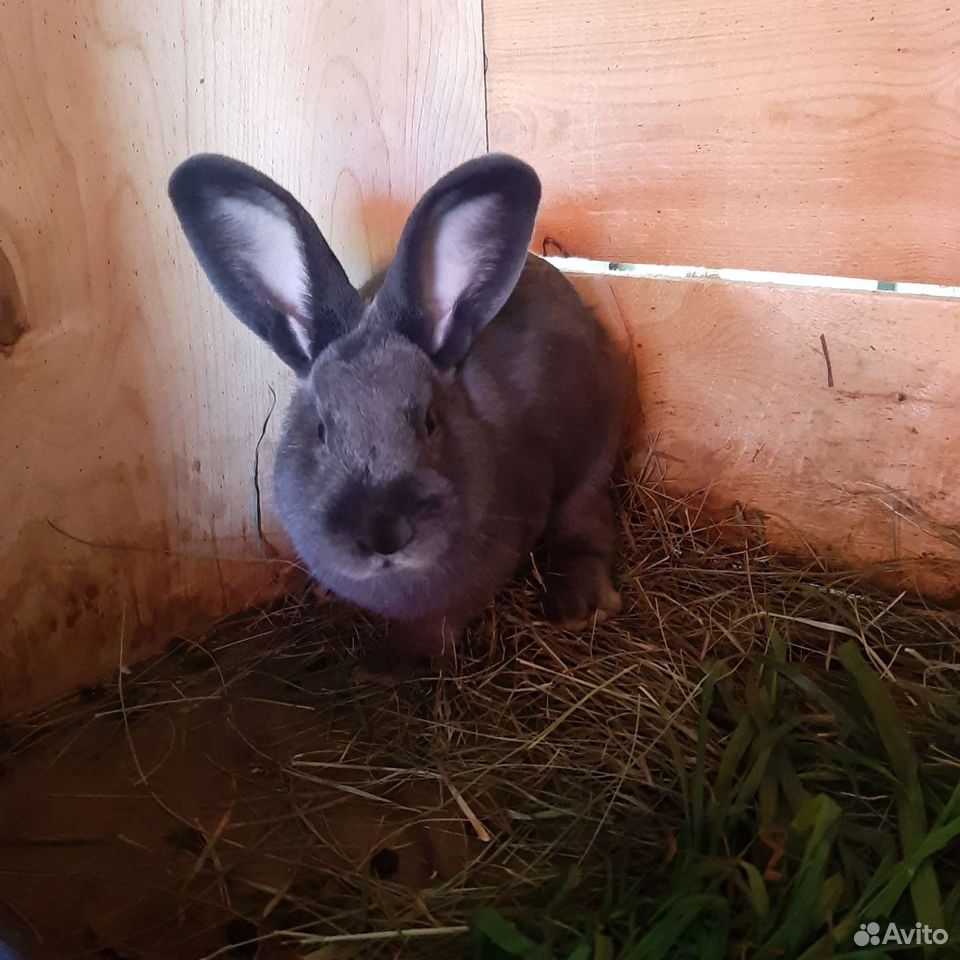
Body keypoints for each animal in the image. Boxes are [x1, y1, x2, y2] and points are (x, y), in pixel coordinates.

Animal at [168, 152, 625, 678]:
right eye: (321, 429)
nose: (383, 533)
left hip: (593, 458)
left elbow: (438, 624)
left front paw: (386, 664)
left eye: (429, 421)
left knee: (586, 523)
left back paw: (578, 606)